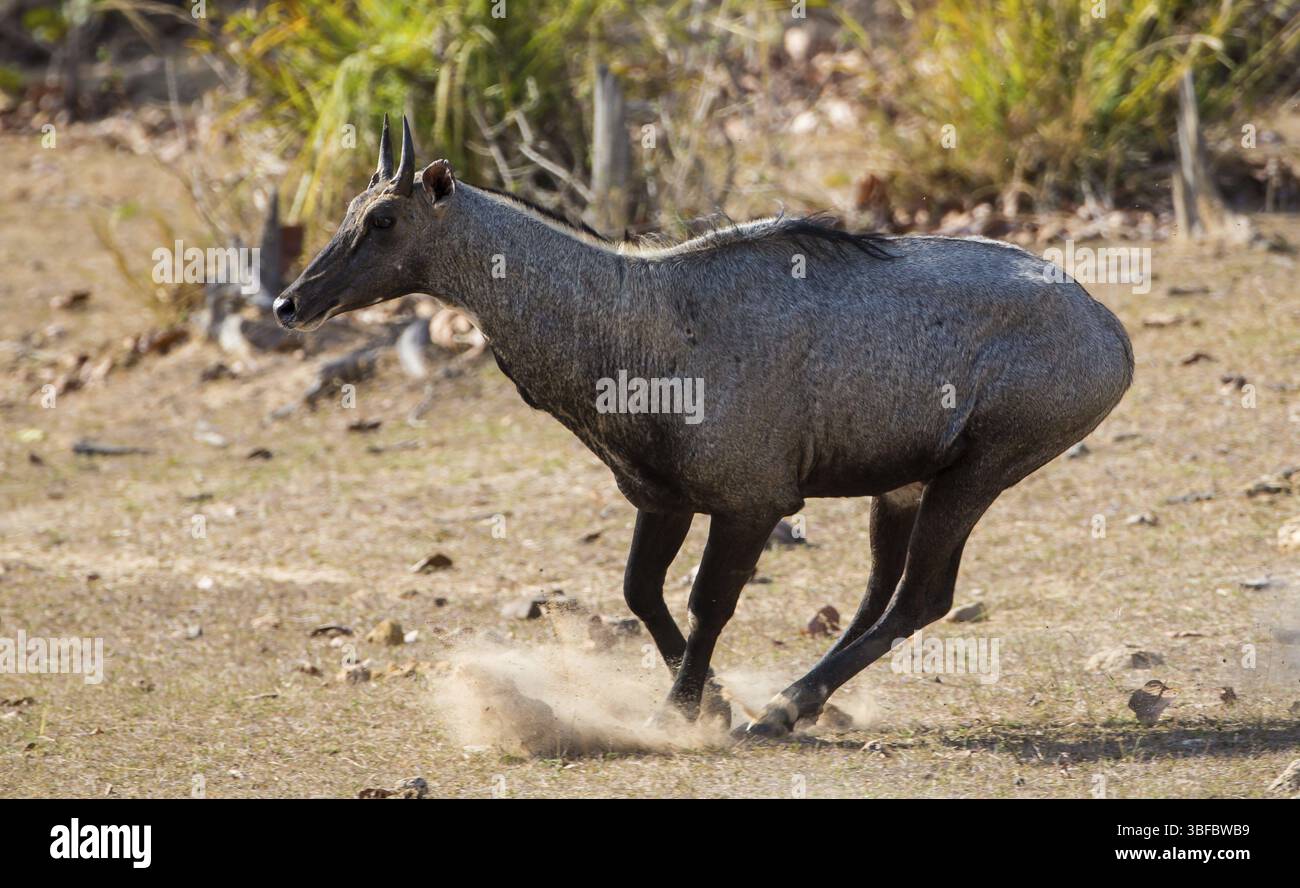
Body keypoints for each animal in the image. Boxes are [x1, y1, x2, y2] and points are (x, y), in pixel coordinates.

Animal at [276, 117, 1133, 737]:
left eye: (384, 218)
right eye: (351, 211)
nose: (289, 302)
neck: (636, 317)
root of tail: (1109, 332)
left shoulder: (751, 502)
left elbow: (706, 602)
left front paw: (682, 713)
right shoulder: (662, 498)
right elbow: (638, 591)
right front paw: (714, 699)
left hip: (979, 471)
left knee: (921, 597)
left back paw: (781, 712)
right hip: (907, 485)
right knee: (881, 595)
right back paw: (795, 705)